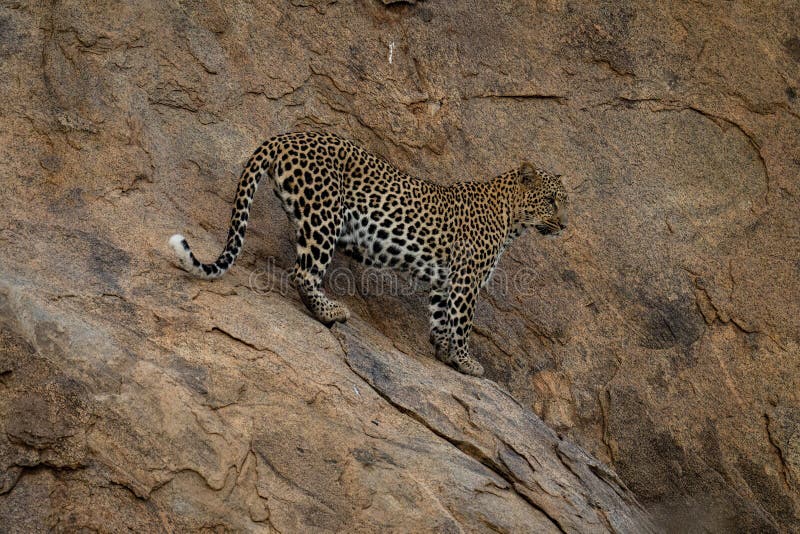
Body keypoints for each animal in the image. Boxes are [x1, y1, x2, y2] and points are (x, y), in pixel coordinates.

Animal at [170, 131, 568, 376]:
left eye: (565, 202)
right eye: (551, 200)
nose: (565, 225)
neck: (511, 219)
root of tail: (285, 136)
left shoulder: (445, 281)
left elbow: (441, 319)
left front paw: (444, 354)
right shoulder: (466, 280)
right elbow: (462, 323)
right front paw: (468, 362)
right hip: (324, 214)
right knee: (303, 272)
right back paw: (330, 312)